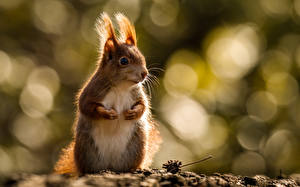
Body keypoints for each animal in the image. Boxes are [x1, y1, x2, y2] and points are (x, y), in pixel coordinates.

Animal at [54, 12, 162, 175]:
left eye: (142, 57)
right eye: (123, 61)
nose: (144, 73)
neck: (121, 87)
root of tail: (110, 165)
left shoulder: (137, 93)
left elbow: (143, 106)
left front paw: (133, 113)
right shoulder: (92, 91)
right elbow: (86, 106)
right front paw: (107, 113)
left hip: (136, 146)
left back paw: (134, 168)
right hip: (86, 149)